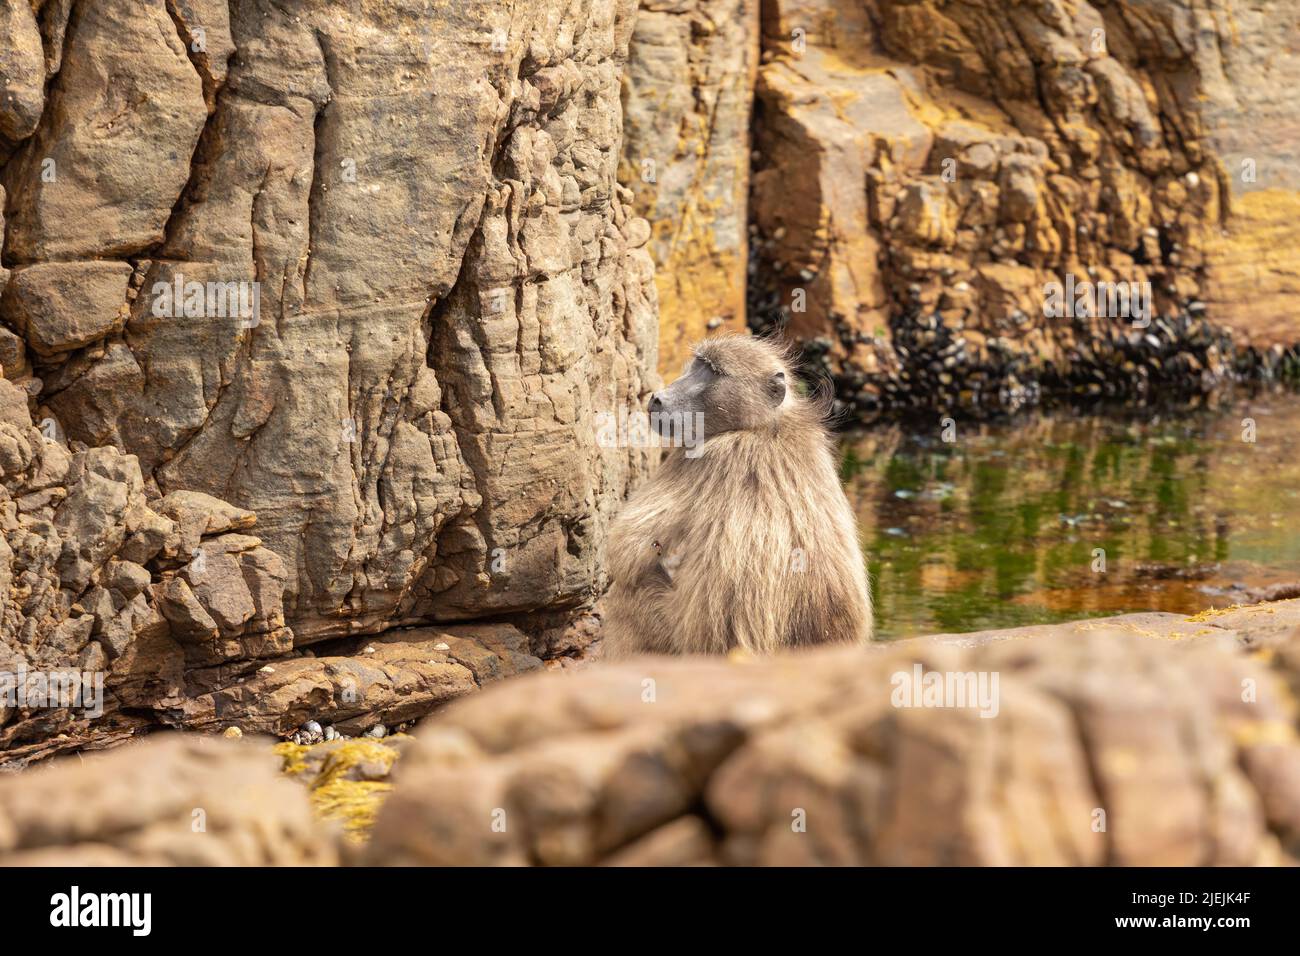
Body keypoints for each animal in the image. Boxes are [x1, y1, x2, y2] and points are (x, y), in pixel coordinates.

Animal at [601, 334, 873, 658]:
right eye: (698, 363)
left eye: (713, 372)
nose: (658, 399)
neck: (766, 426)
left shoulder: (705, 457)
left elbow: (626, 547)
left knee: (629, 594)